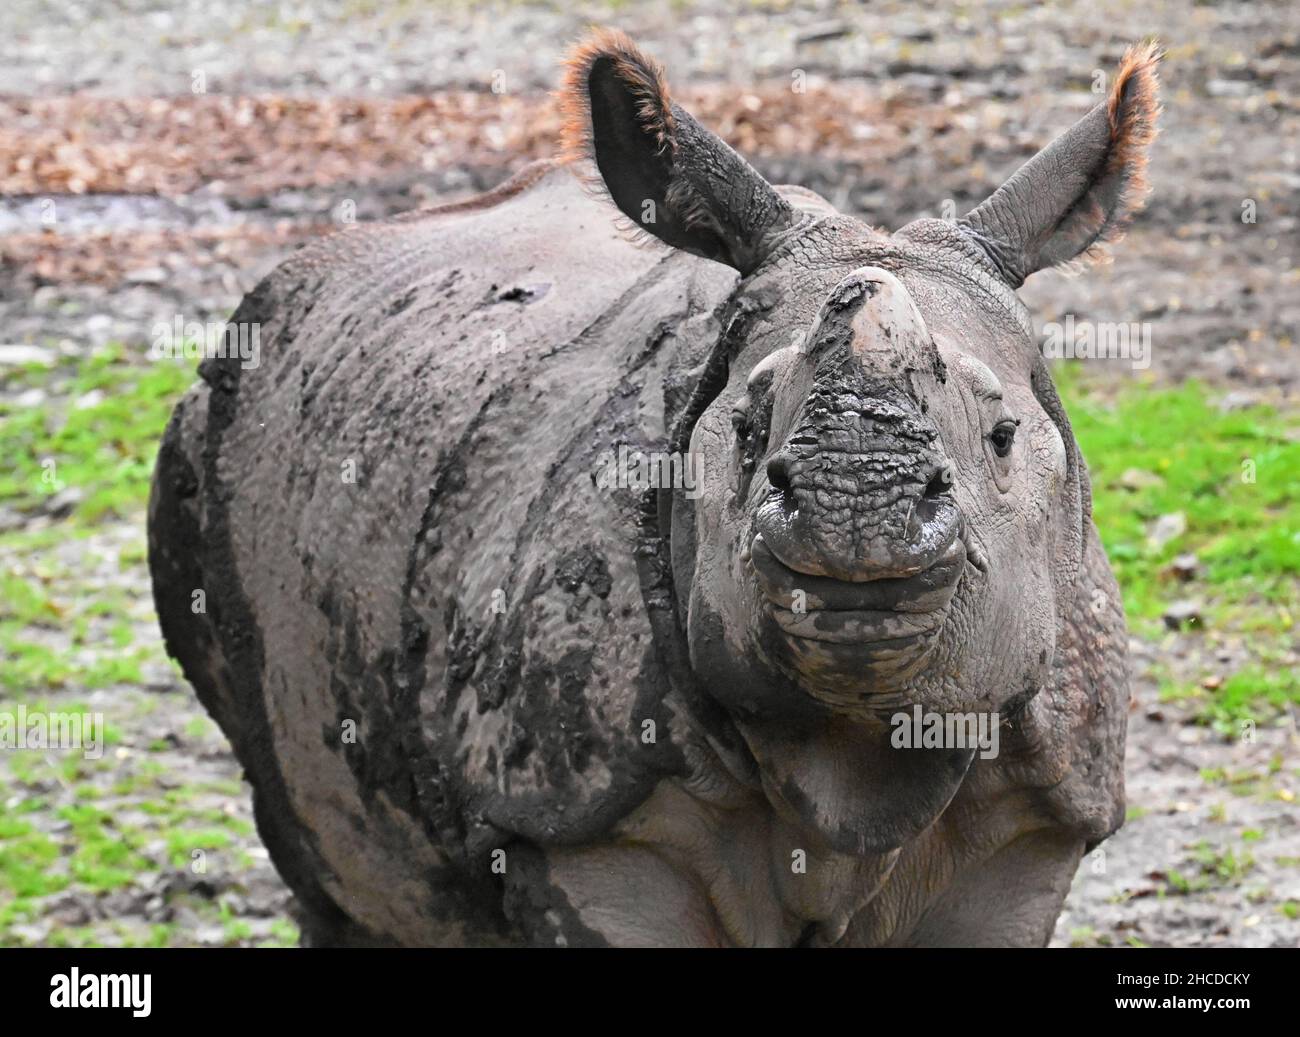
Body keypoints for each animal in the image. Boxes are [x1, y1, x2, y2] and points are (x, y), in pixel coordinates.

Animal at [147, 29, 1159, 947]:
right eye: (746, 435)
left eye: (1002, 436)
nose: (856, 526)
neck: (854, 759)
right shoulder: (574, 817)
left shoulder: (1045, 810)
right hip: (213, 429)